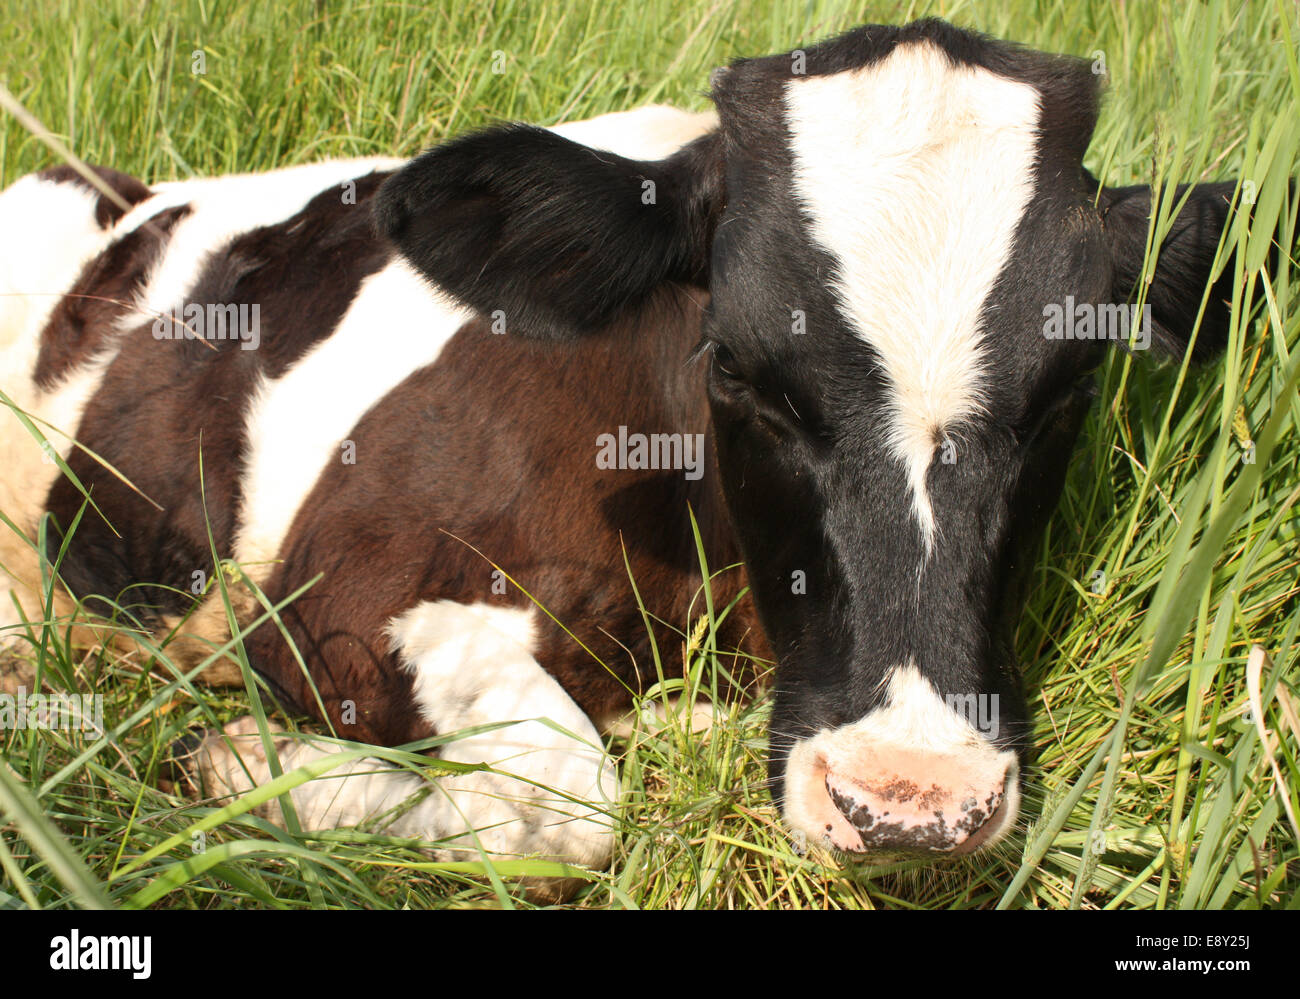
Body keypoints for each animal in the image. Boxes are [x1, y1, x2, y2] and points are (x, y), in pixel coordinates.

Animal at [0, 18, 1250, 885]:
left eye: (1069, 386)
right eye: (736, 367)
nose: (911, 799)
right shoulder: (329, 597)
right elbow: (580, 806)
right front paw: (245, 768)